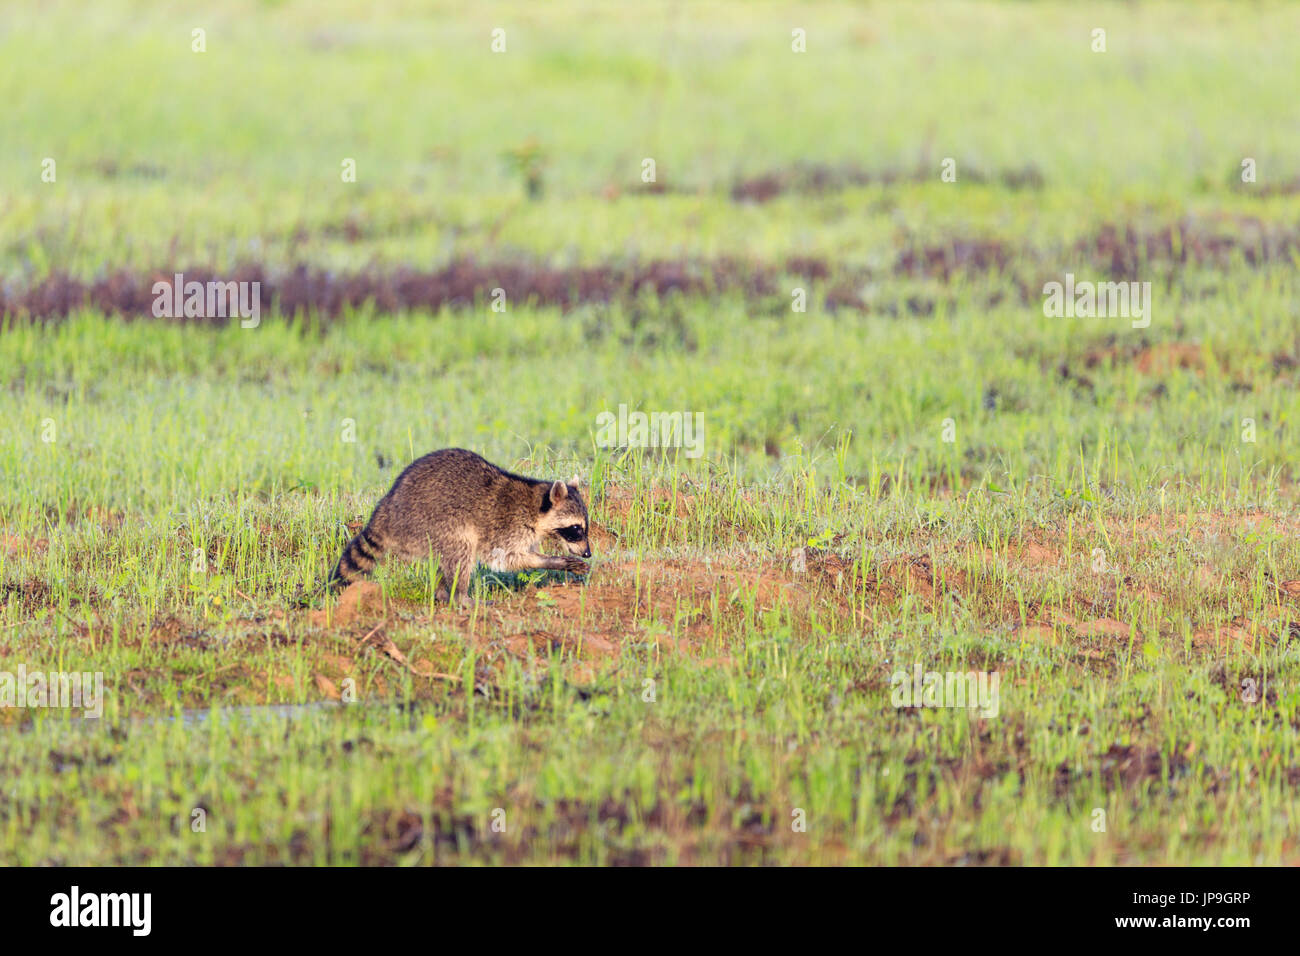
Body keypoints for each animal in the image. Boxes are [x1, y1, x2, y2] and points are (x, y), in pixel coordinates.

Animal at [328, 448, 591, 605]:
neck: (536, 504)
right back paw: (461, 597)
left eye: (583, 528)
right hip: (432, 523)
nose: (588, 553)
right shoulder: (505, 526)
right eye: (576, 529)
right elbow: (505, 559)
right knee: (462, 549)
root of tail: (386, 510)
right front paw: (553, 561)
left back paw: (442, 592)